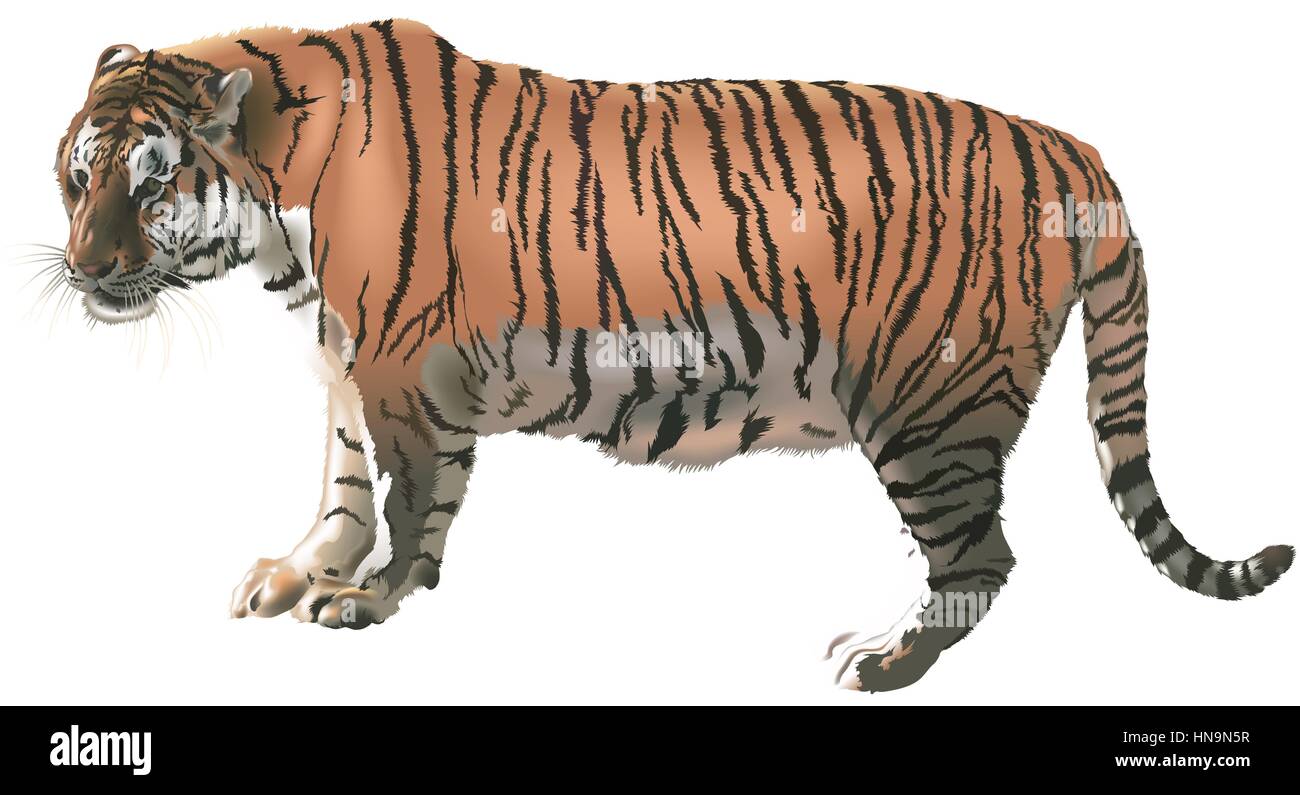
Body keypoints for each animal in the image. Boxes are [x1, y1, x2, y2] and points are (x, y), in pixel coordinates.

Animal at [49, 18, 1292, 692]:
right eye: (75, 176)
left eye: (151, 186)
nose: (83, 266)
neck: (277, 212)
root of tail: (1071, 147)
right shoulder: (351, 359)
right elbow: (342, 485)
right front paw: (298, 571)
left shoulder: (402, 365)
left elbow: (405, 496)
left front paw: (370, 601)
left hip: (930, 407)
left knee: (979, 558)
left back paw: (881, 660)